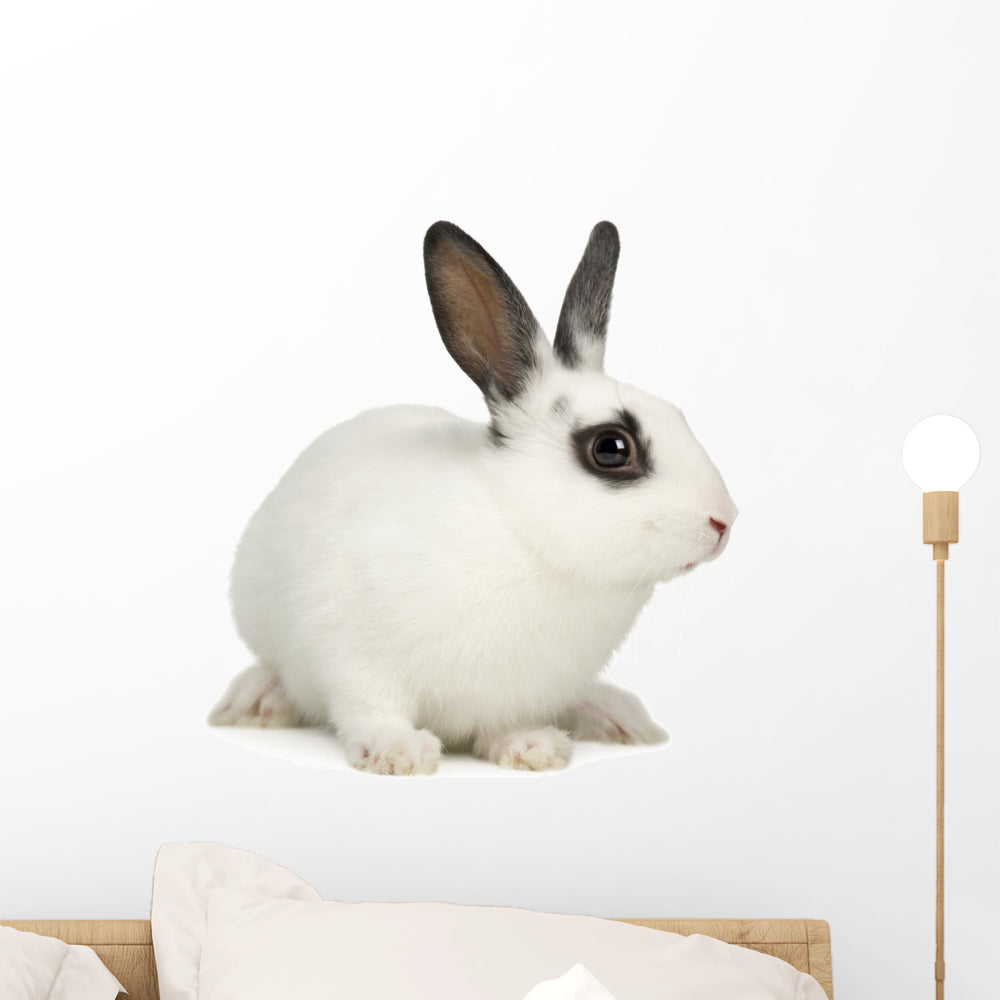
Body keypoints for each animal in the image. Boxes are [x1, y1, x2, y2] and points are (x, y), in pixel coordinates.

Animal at [208, 221, 738, 775]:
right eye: (610, 447)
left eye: (677, 414)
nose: (724, 520)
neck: (524, 537)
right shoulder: (350, 654)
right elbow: (368, 708)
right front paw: (400, 753)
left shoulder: (517, 691)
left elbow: (505, 724)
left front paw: (531, 747)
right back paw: (255, 702)